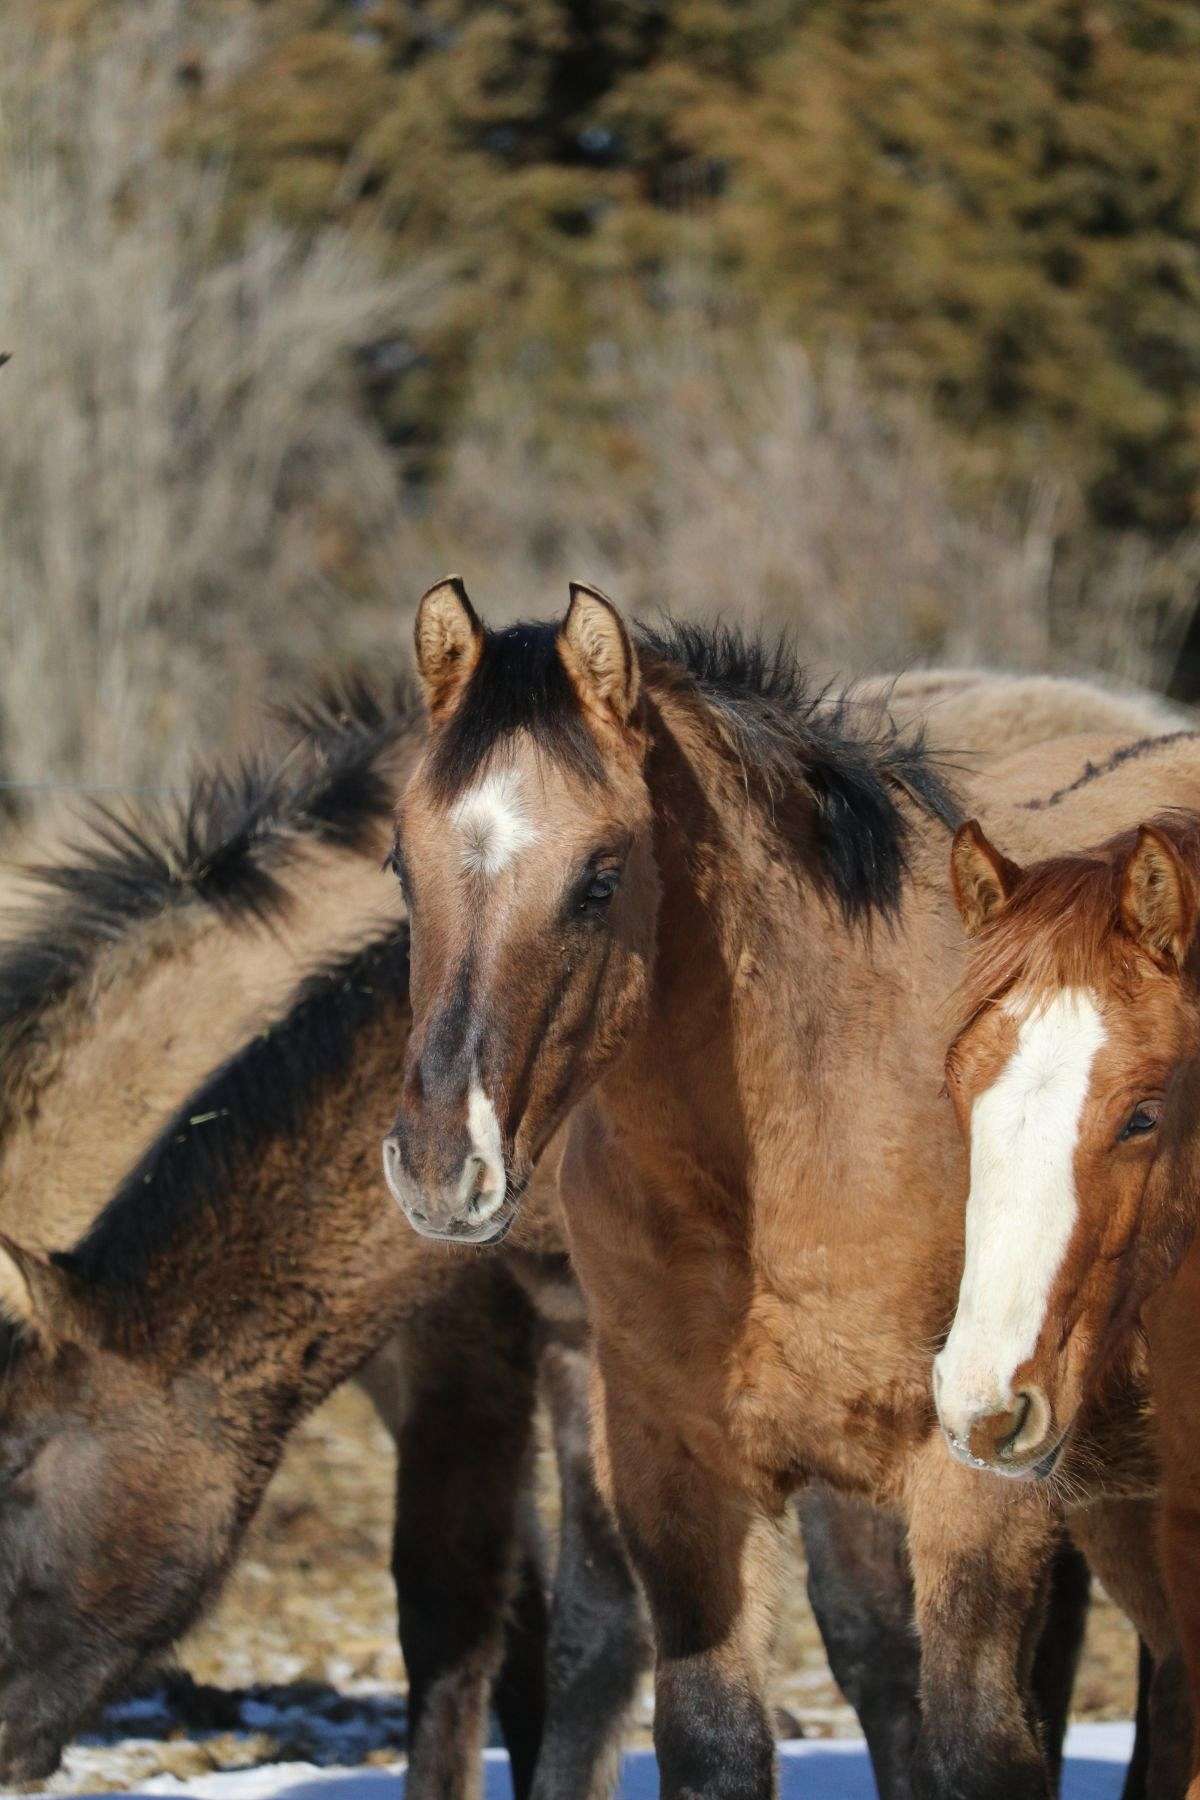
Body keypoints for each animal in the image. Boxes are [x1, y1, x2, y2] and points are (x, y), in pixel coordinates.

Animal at [385, 575, 1194, 1799]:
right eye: (401, 863)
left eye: (600, 878)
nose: (443, 1164)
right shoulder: (678, 1466)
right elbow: (714, 1738)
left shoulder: (975, 1482)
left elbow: (971, 1742)